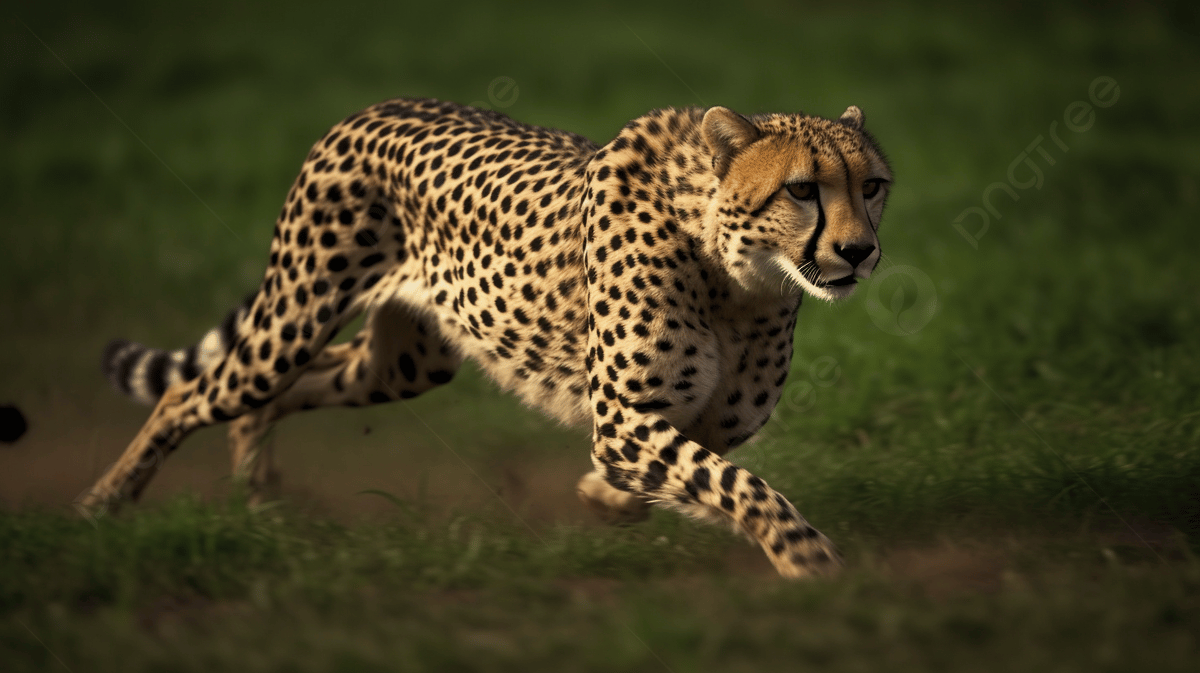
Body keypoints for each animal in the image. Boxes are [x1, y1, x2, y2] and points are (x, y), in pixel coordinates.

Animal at [80, 97, 893, 578]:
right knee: (192, 392)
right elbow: (742, 486)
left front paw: (604, 497)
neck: (738, 278)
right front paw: (809, 564)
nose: (859, 251)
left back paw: (257, 490)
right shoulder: (624, 419)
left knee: (293, 387)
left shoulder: (700, 423)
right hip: (293, 317)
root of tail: (374, 105)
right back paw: (106, 502)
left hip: (404, 362)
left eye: (873, 185)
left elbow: (701, 474)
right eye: (802, 189)